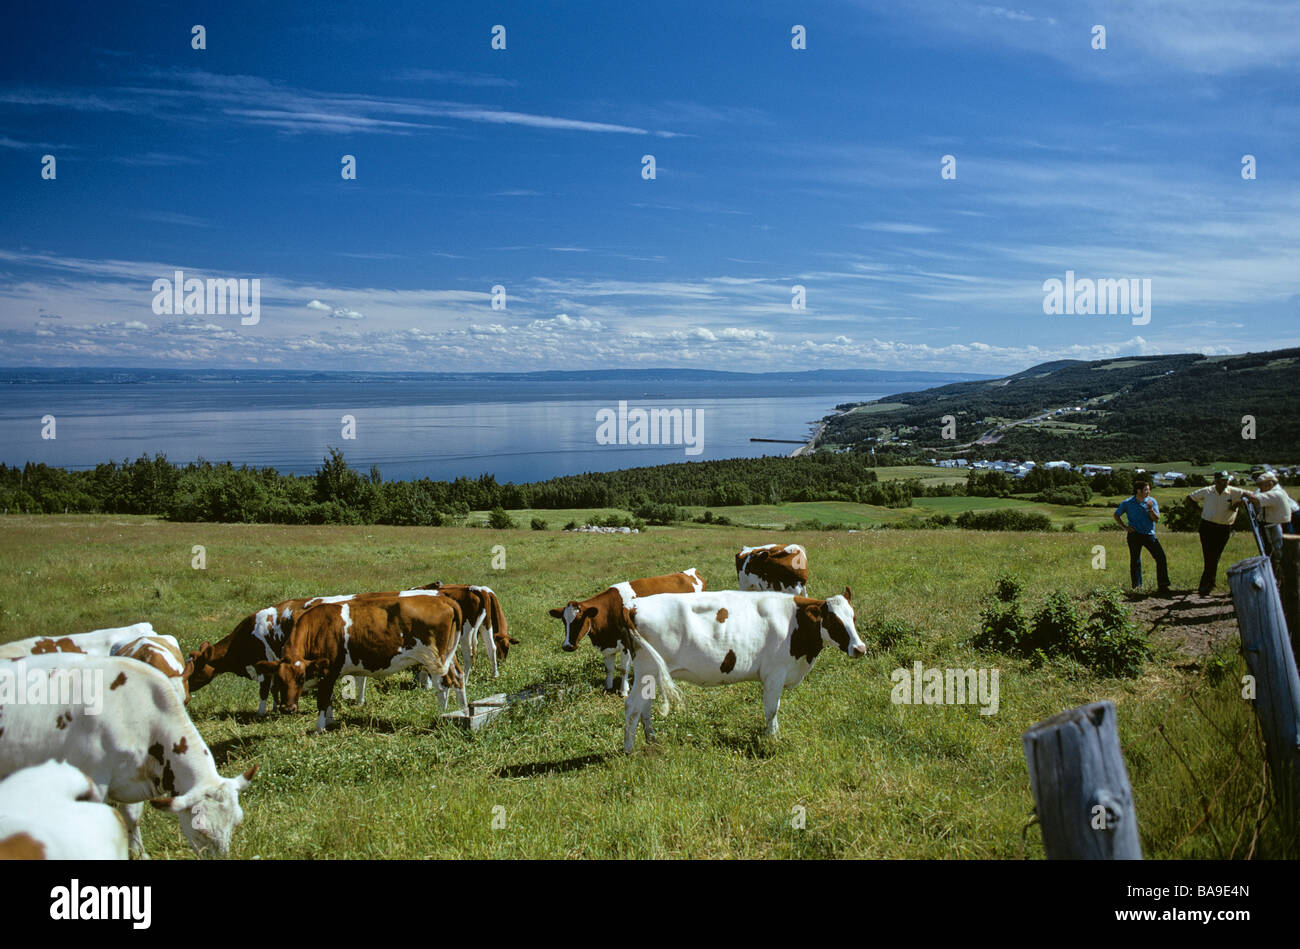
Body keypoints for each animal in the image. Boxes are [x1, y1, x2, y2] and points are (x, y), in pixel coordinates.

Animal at [255, 593, 466, 733]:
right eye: (279, 680)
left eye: (301, 678)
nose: (288, 709)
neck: (318, 627)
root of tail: (442, 599)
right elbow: (329, 699)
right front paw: (329, 721)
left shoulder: (328, 671)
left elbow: (322, 700)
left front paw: (319, 728)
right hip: (449, 656)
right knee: (458, 679)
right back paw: (463, 711)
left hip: (434, 659)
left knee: (443, 685)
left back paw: (440, 715)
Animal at [550, 568, 705, 696]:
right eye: (564, 621)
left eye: (579, 620)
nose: (567, 645)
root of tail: (690, 572)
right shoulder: (608, 645)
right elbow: (609, 668)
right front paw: (608, 687)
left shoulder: (626, 642)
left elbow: (623, 668)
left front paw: (623, 691)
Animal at [616, 588, 865, 753]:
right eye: (834, 621)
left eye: (853, 617)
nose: (860, 648)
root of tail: (634, 605)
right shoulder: (775, 674)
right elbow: (772, 709)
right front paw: (773, 740)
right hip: (647, 670)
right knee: (632, 706)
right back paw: (629, 750)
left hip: (653, 674)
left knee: (645, 706)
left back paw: (652, 740)